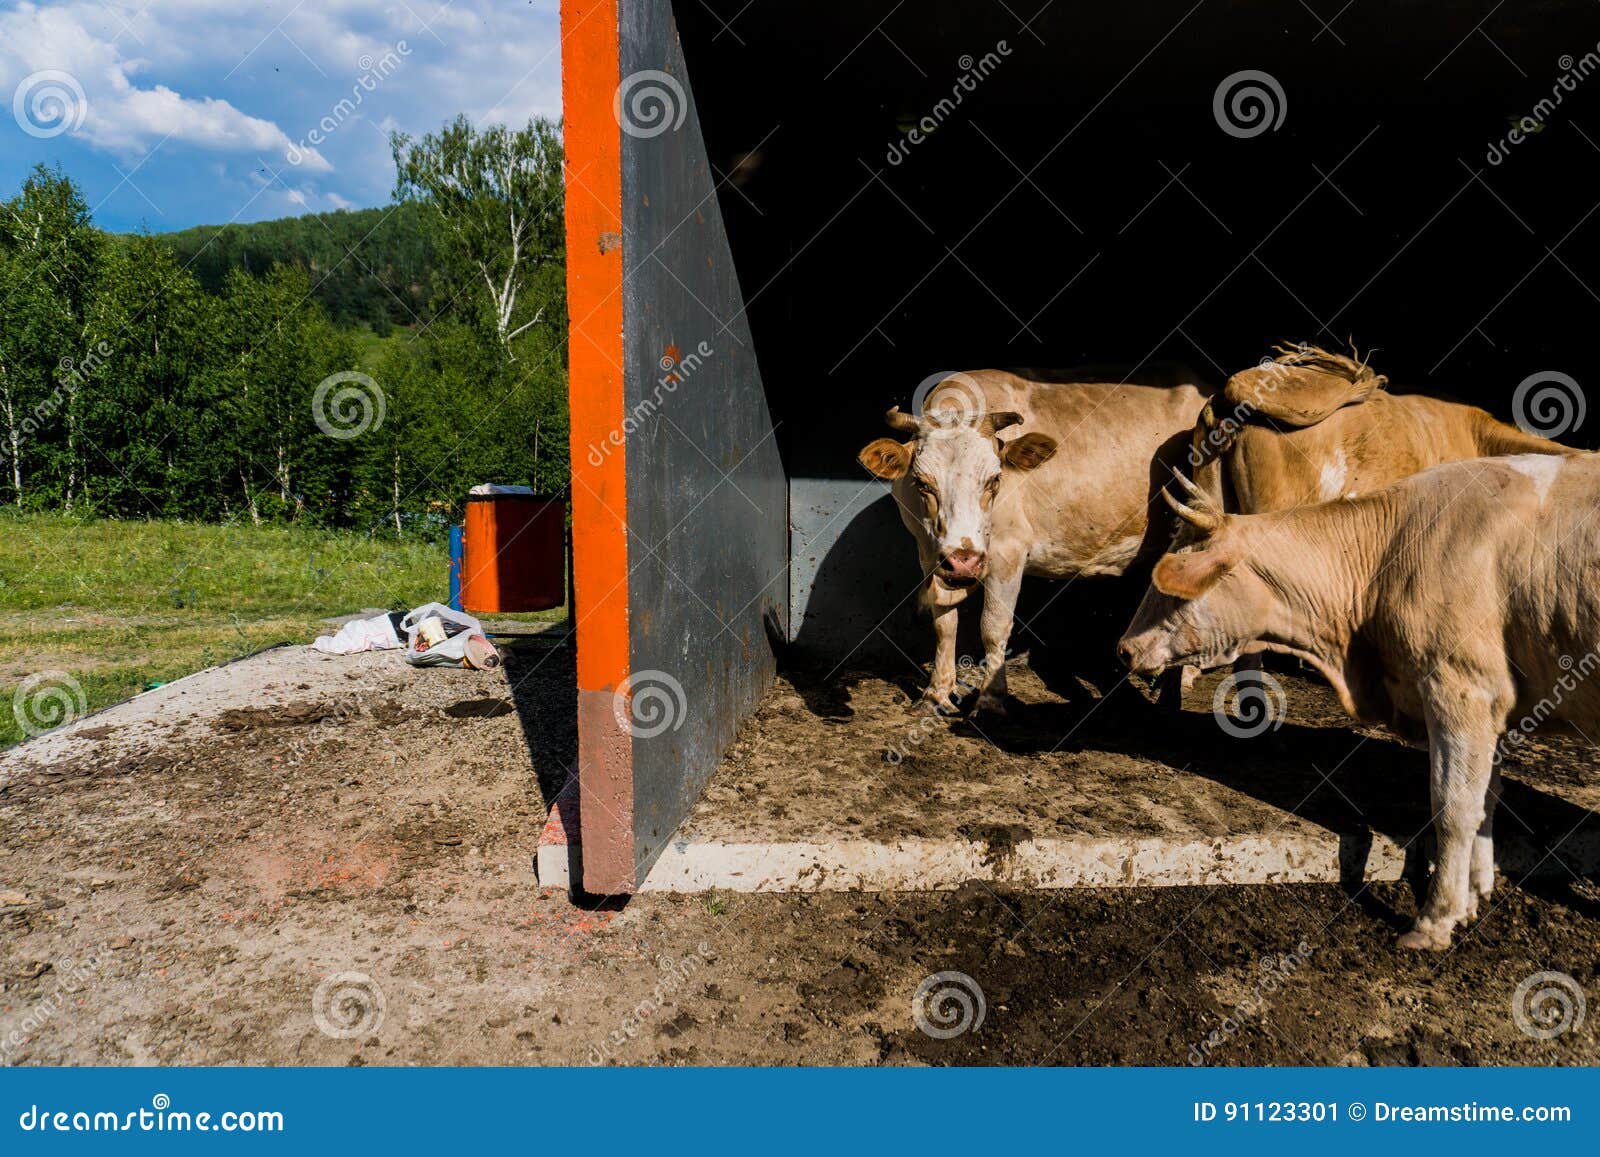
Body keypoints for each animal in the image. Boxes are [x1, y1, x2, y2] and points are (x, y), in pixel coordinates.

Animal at [856, 369, 1208, 716]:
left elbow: (993, 627)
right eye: (922, 483)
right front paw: (936, 694)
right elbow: (944, 621)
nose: (964, 560)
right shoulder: (929, 554)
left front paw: (990, 701)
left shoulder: (1007, 553)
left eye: (995, 480)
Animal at [1118, 457, 1600, 950]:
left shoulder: (1460, 687)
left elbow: (1454, 808)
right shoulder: (1492, 705)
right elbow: (1487, 797)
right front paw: (1472, 898)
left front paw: (1435, 919)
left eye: (1169, 583)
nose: (1124, 649)